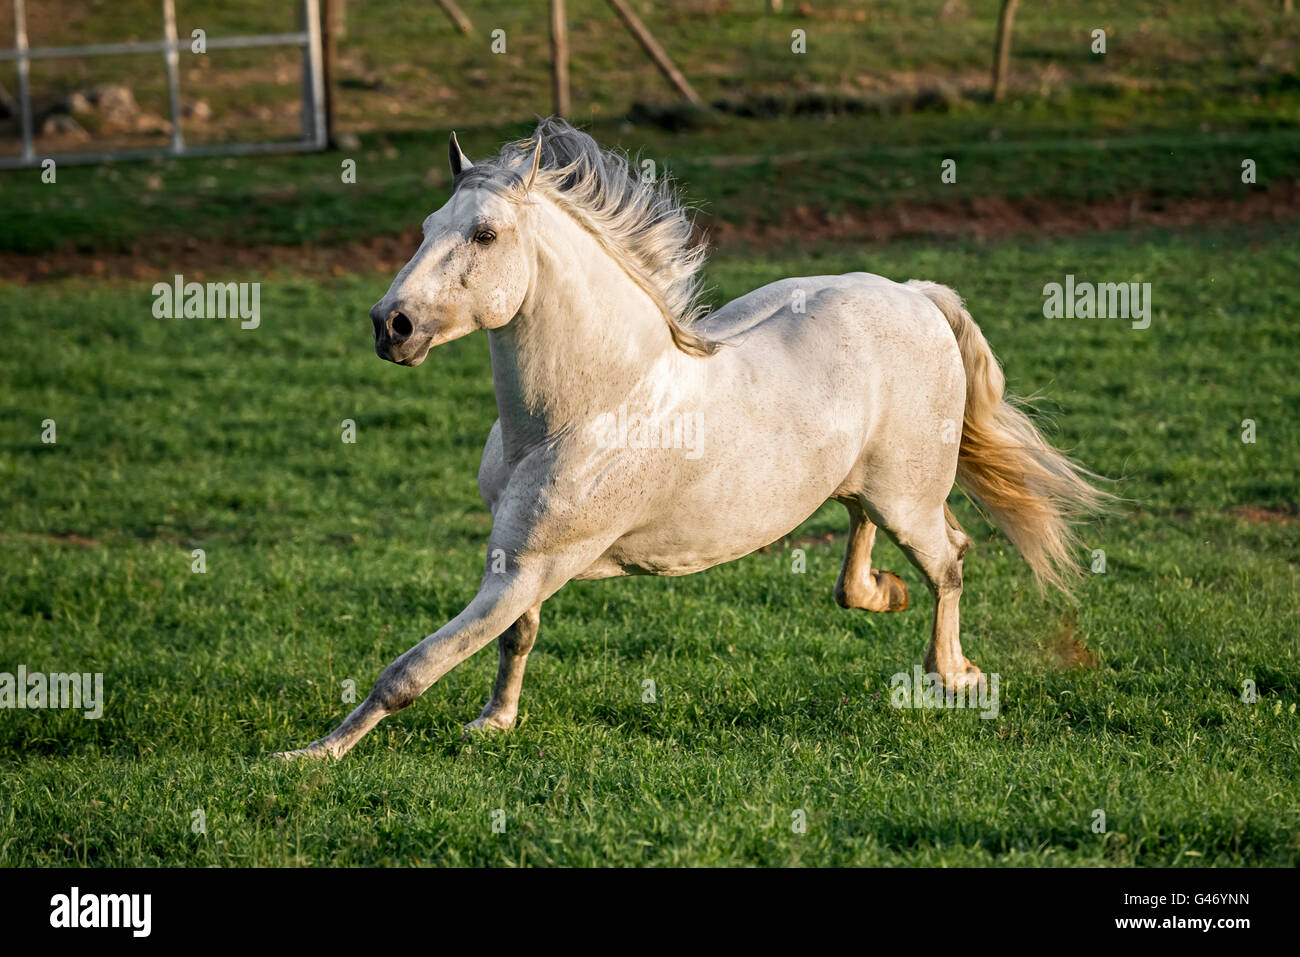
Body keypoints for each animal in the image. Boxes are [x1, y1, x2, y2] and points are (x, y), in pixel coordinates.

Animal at [281, 117, 1107, 760]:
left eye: (484, 234)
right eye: (425, 229)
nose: (391, 325)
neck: (589, 405)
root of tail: (916, 294)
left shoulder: (531, 565)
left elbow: (412, 669)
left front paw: (309, 754)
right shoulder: (521, 562)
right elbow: (517, 638)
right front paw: (495, 722)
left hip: (910, 496)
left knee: (951, 561)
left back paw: (954, 673)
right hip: (865, 485)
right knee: (873, 553)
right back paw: (884, 594)